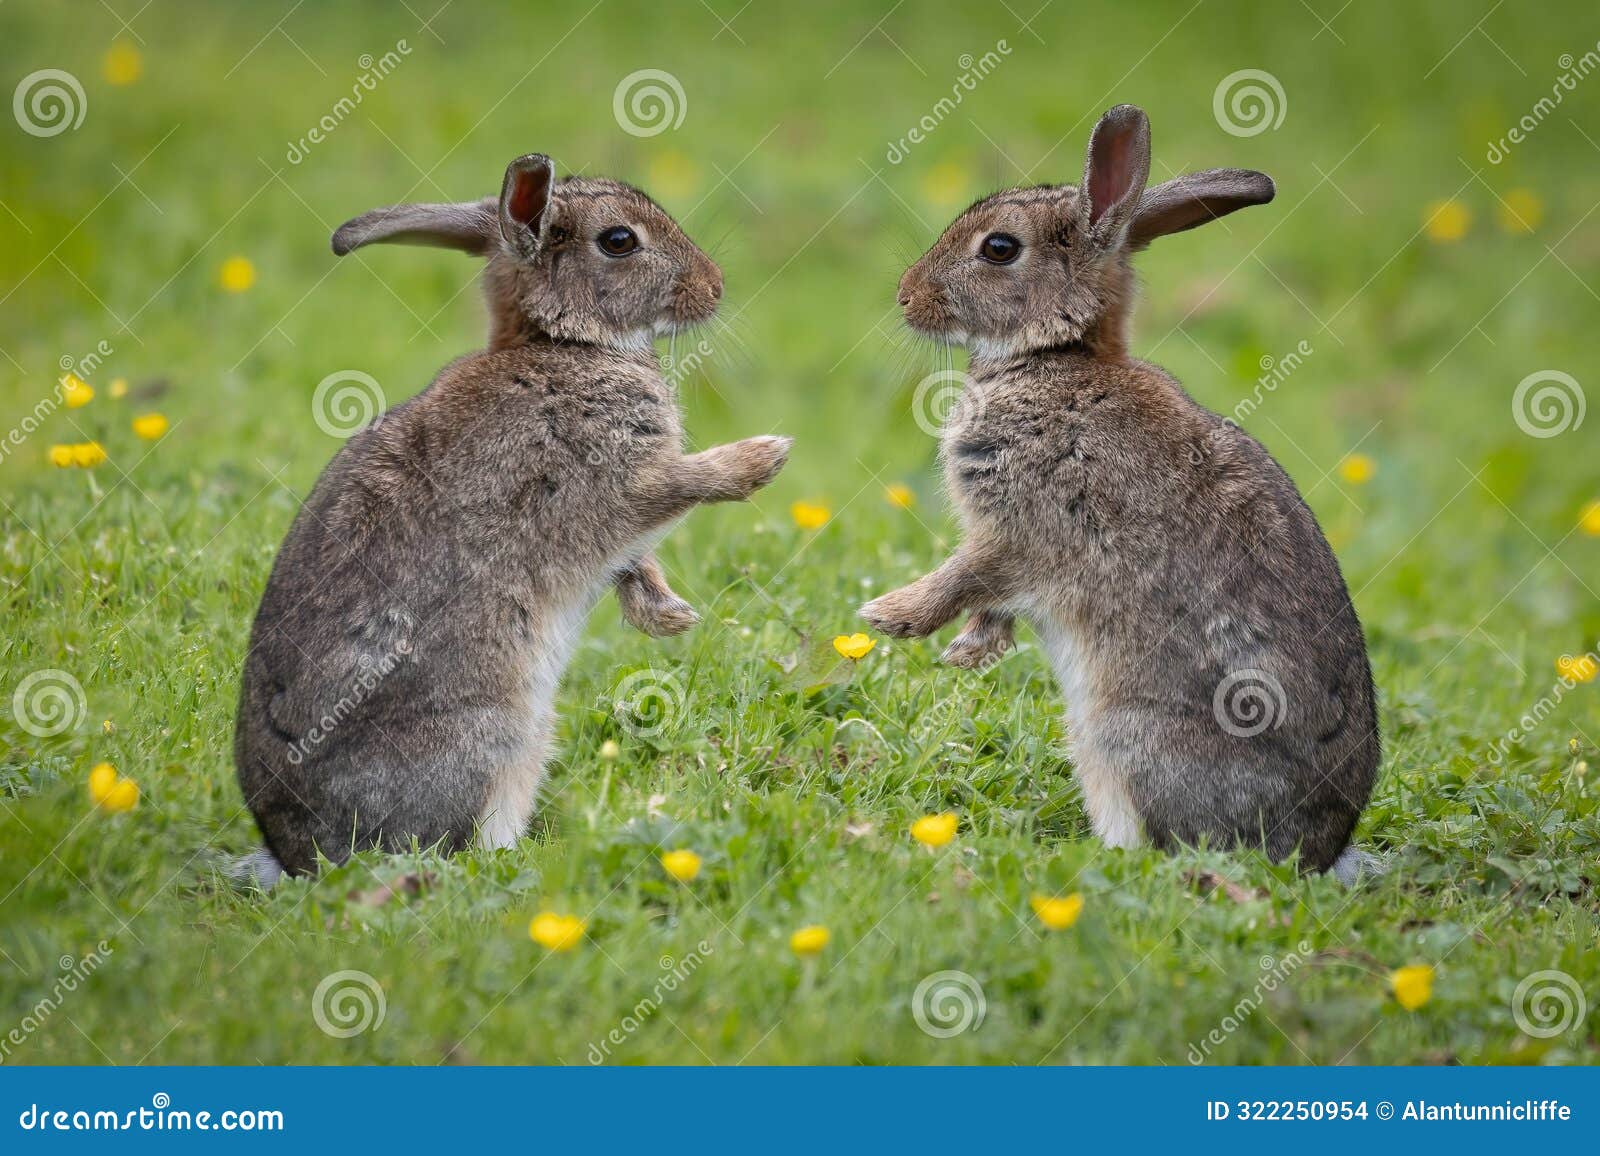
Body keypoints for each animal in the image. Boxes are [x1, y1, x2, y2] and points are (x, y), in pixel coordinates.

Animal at [234, 153, 790, 880]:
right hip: (498, 735)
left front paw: (666, 616)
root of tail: (298, 852)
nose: (715, 288)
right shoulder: (617, 482)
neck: (561, 344)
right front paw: (763, 457)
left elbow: (635, 561)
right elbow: (680, 487)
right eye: (619, 241)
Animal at [862, 105, 1379, 879]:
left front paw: (888, 618)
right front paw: (968, 652)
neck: (1058, 358)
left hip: (1122, 734)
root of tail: (1314, 851)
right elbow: (990, 604)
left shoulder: (1020, 529)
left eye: (999, 248)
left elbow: (964, 577)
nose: (905, 296)